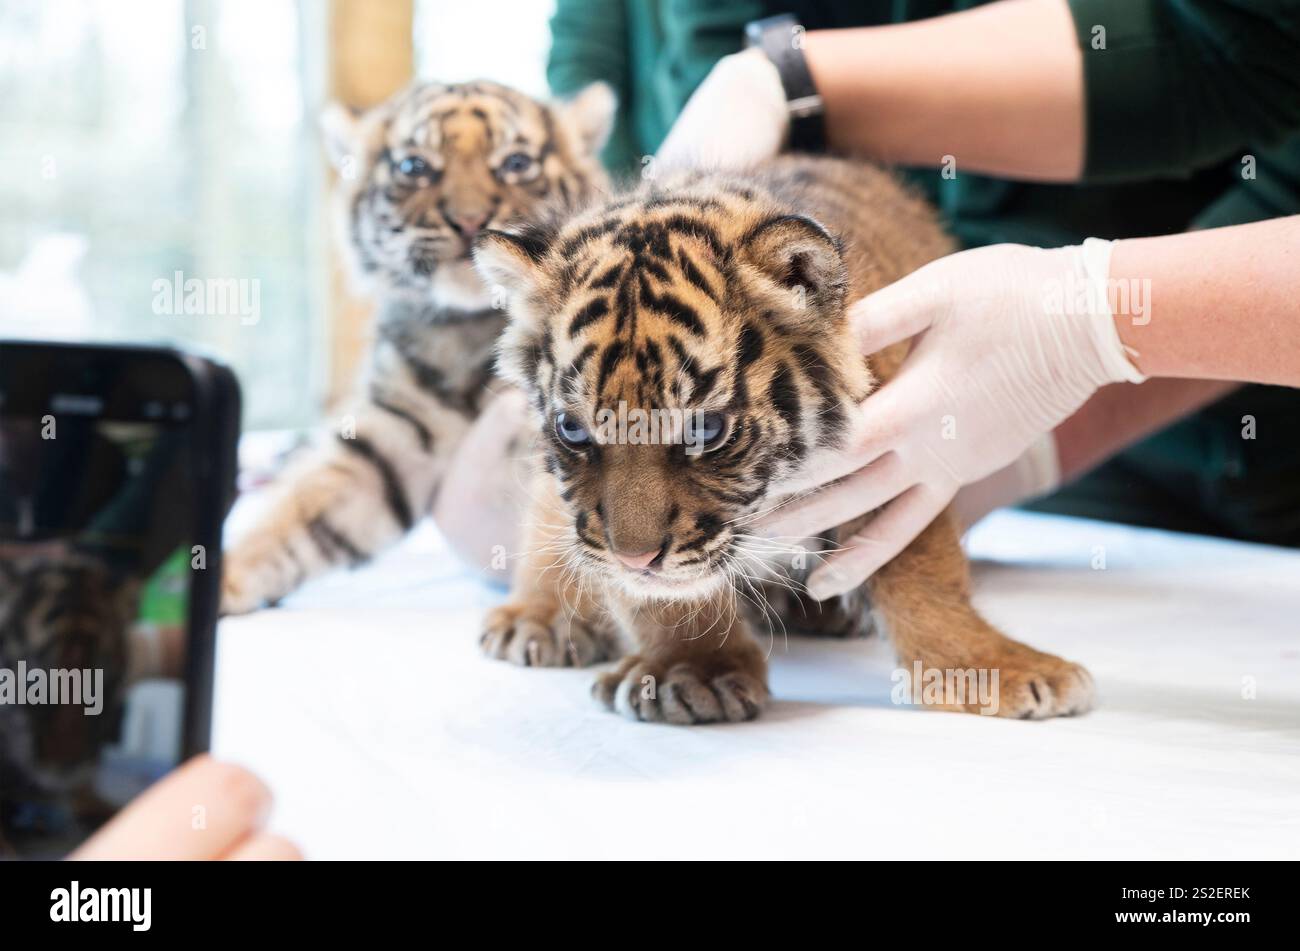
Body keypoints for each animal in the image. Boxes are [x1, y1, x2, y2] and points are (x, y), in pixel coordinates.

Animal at [221, 79, 614, 613]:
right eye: (414, 167)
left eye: (515, 162)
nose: (470, 222)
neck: (469, 328)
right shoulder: (395, 433)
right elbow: (301, 506)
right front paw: (211, 579)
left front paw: (539, 615)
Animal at [472, 154, 1095, 723]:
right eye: (573, 429)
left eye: (705, 429)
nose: (636, 558)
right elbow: (659, 591)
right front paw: (692, 672)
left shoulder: (898, 466)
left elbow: (923, 567)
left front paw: (987, 668)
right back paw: (537, 617)